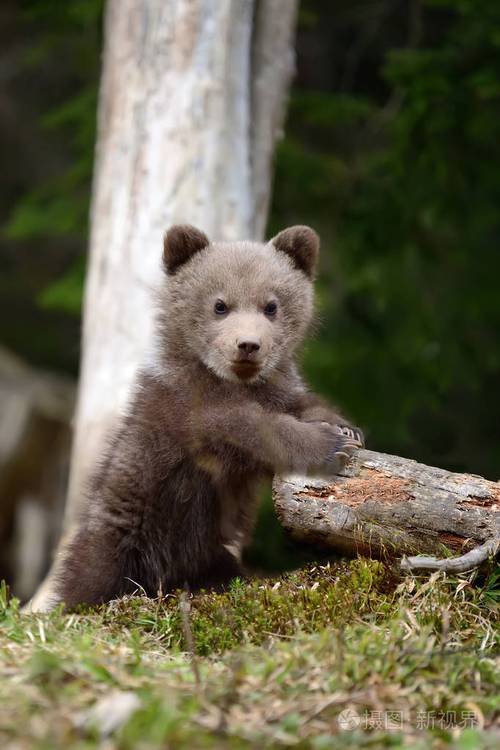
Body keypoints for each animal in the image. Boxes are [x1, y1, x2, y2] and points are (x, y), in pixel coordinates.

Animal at [44, 224, 364, 609]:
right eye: (220, 305)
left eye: (271, 305)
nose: (248, 345)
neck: (235, 381)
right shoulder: (192, 409)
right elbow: (249, 427)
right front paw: (329, 445)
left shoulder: (276, 388)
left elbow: (299, 402)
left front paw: (345, 428)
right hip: (128, 529)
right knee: (90, 574)